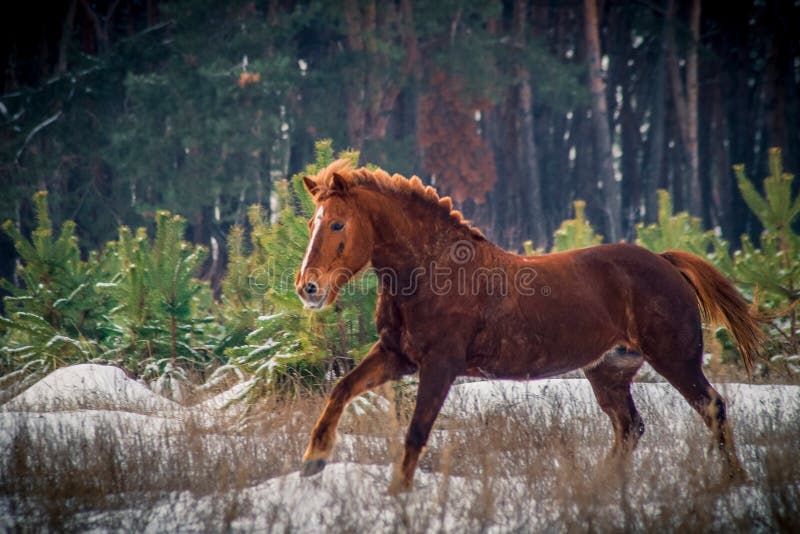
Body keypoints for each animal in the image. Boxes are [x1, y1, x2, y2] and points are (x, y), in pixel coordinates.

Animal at [294, 159, 764, 494]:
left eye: (337, 223)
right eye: (312, 222)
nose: (307, 288)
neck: (433, 271)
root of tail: (666, 263)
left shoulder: (440, 366)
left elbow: (416, 431)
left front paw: (398, 495)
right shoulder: (397, 356)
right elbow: (341, 389)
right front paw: (313, 461)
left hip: (675, 360)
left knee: (713, 407)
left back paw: (733, 483)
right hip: (610, 371)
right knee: (631, 427)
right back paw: (597, 486)